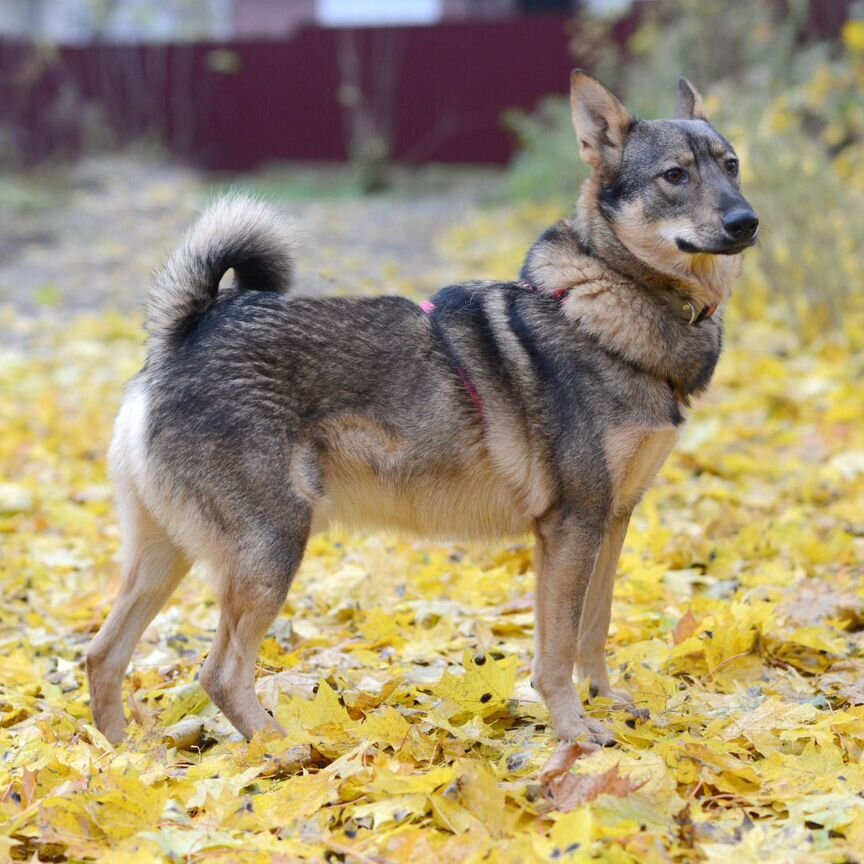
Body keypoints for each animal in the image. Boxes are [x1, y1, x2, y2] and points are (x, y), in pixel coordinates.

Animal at [86, 72, 756, 748]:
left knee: (102, 655)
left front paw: (607, 703)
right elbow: (557, 651)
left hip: (167, 558)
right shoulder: (571, 527)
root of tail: (182, 337)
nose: (746, 221)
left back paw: (127, 757)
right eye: (675, 175)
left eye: (730, 166)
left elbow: (594, 630)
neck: (613, 299)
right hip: (271, 551)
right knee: (219, 673)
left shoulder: (610, 521)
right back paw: (284, 750)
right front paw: (573, 731)